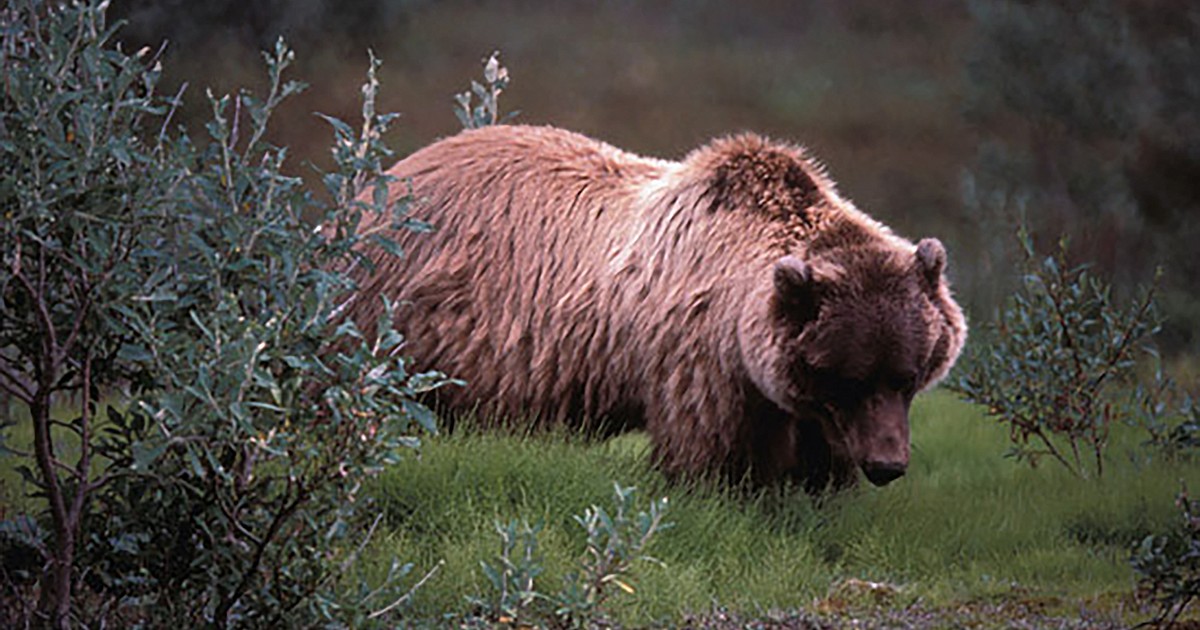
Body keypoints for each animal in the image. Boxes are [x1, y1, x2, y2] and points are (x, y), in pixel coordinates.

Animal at [347, 124, 966, 492]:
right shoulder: (701, 355)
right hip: (405, 315)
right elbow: (708, 449)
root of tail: (380, 183)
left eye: (908, 374)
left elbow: (818, 455)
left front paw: (821, 488)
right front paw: (723, 492)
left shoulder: (787, 386)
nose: (887, 465)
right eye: (850, 376)